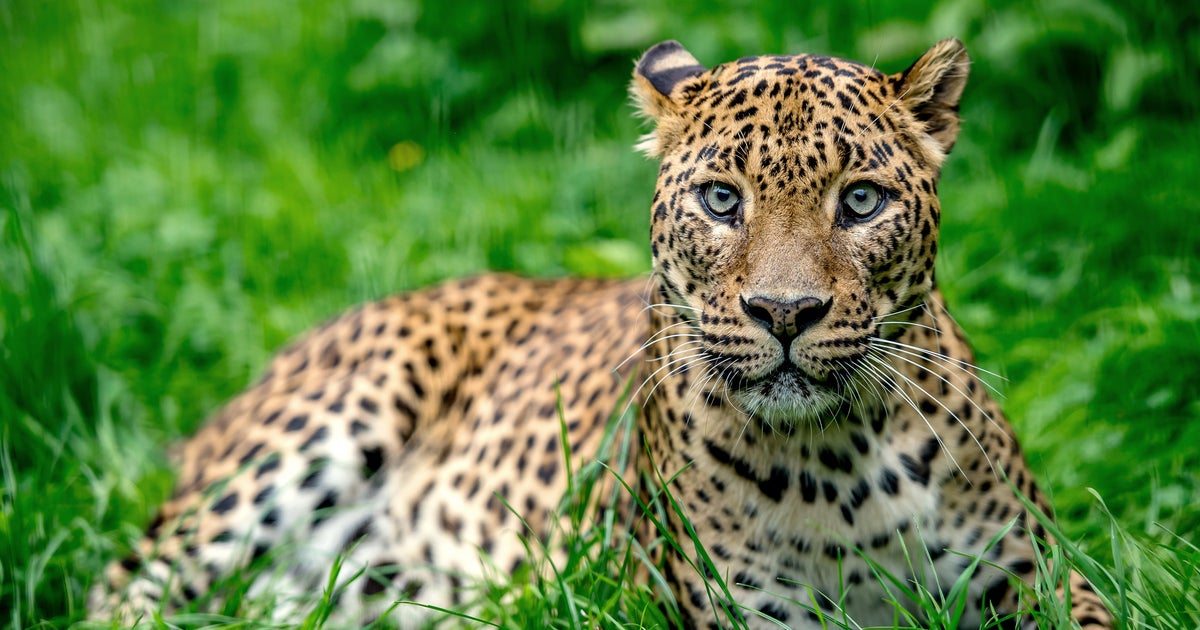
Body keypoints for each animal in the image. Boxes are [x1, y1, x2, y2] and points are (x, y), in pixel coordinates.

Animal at [90, 39, 1111, 629]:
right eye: (721, 200)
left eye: (861, 201)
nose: (785, 314)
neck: (840, 462)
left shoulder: (1046, 580)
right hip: (313, 431)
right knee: (125, 586)